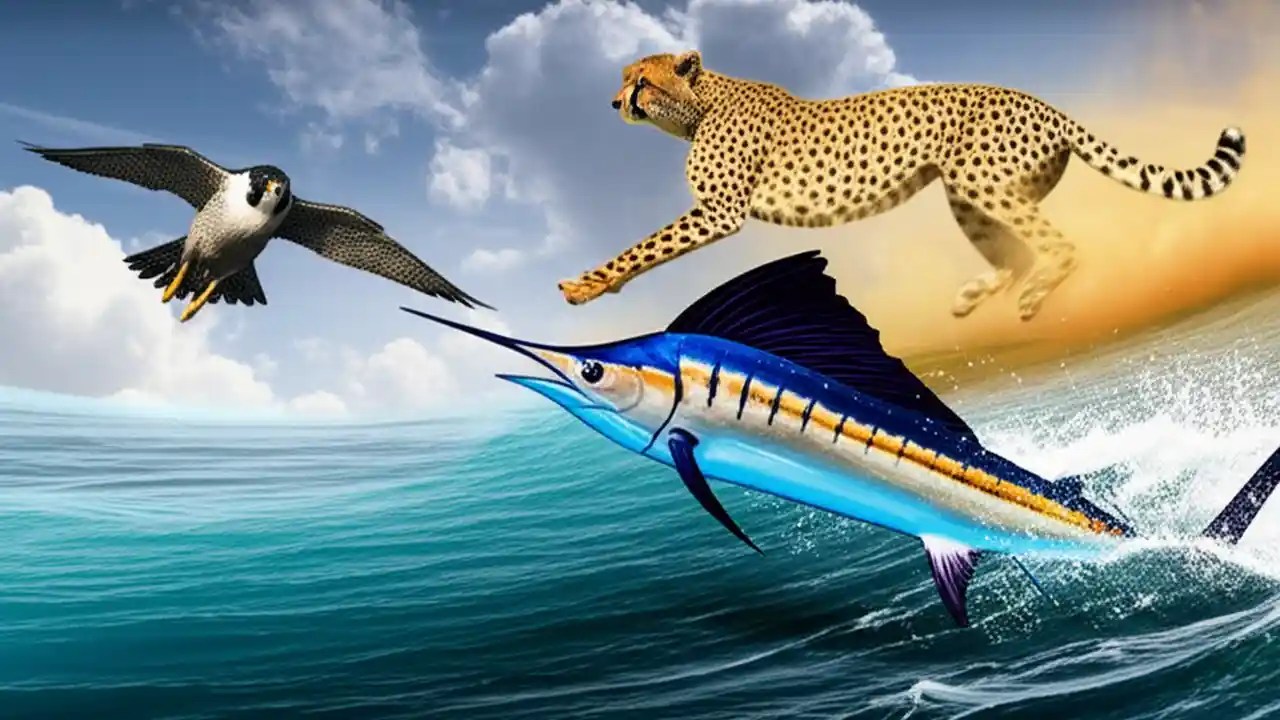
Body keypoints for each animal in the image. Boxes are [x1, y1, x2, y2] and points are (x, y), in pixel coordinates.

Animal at [557, 50, 1246, 320]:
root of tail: (1042, 102)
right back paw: (973, 298)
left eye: (640, 82)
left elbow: (642, 247)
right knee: (1017, 254)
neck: (701, 106)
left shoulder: (719, 211)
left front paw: (586, 284)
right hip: (968, 194)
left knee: (1060, 245)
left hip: (983, 181)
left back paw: (1030, 298)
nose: (614, 102)